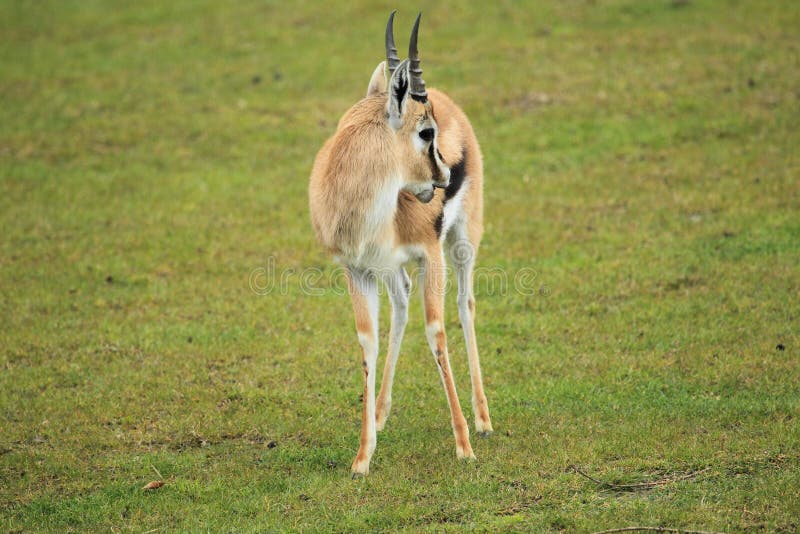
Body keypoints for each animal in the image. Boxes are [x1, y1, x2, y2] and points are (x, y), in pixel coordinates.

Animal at [309, 11, 493, 477]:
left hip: (463, 240)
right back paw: (379, 413)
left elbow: (436, 331)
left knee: (465, 304)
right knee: (402, 303)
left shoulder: (430, 255)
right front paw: (362, 457)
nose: (444, 176)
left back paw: (483, 419)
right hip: (389, 268)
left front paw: (463, 445)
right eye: (426, 132)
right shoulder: (355, 269)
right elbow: (367, 341)